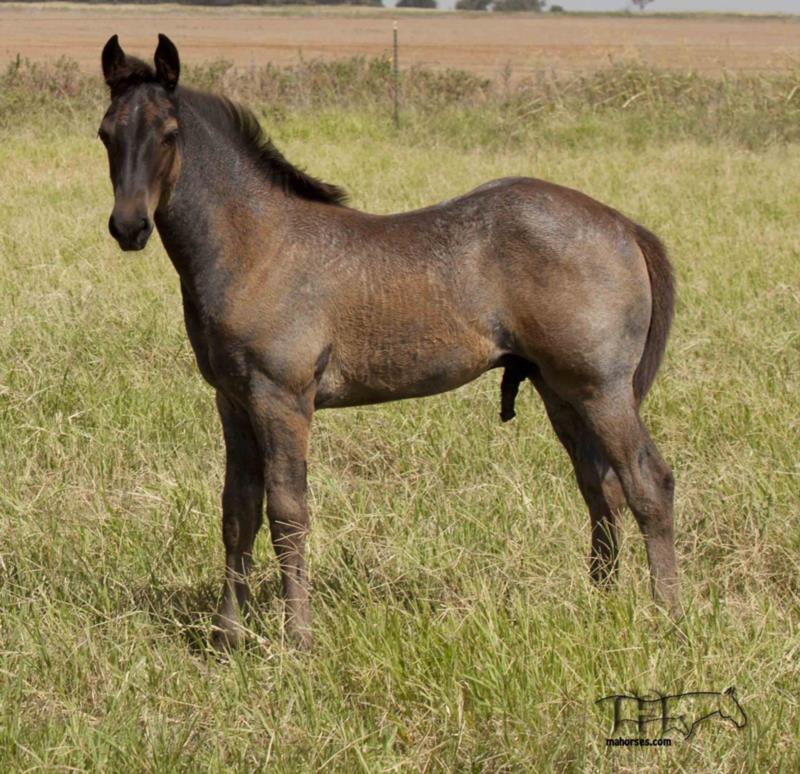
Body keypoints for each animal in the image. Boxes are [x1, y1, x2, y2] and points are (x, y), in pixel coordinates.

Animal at [98, 34, 680, 650]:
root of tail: (623, 225)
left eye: (169, 133)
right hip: (559, 389)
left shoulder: (282, 398)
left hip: (602, 389)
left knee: (648, 482)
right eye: (106, 133)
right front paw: (226, 635)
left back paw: (667, 616)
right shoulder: (232, 399)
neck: (255, 244)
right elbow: (237, 511)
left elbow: (287, 512)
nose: (129, 227)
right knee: (599, 485)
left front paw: (298, 637)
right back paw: (600, 602)